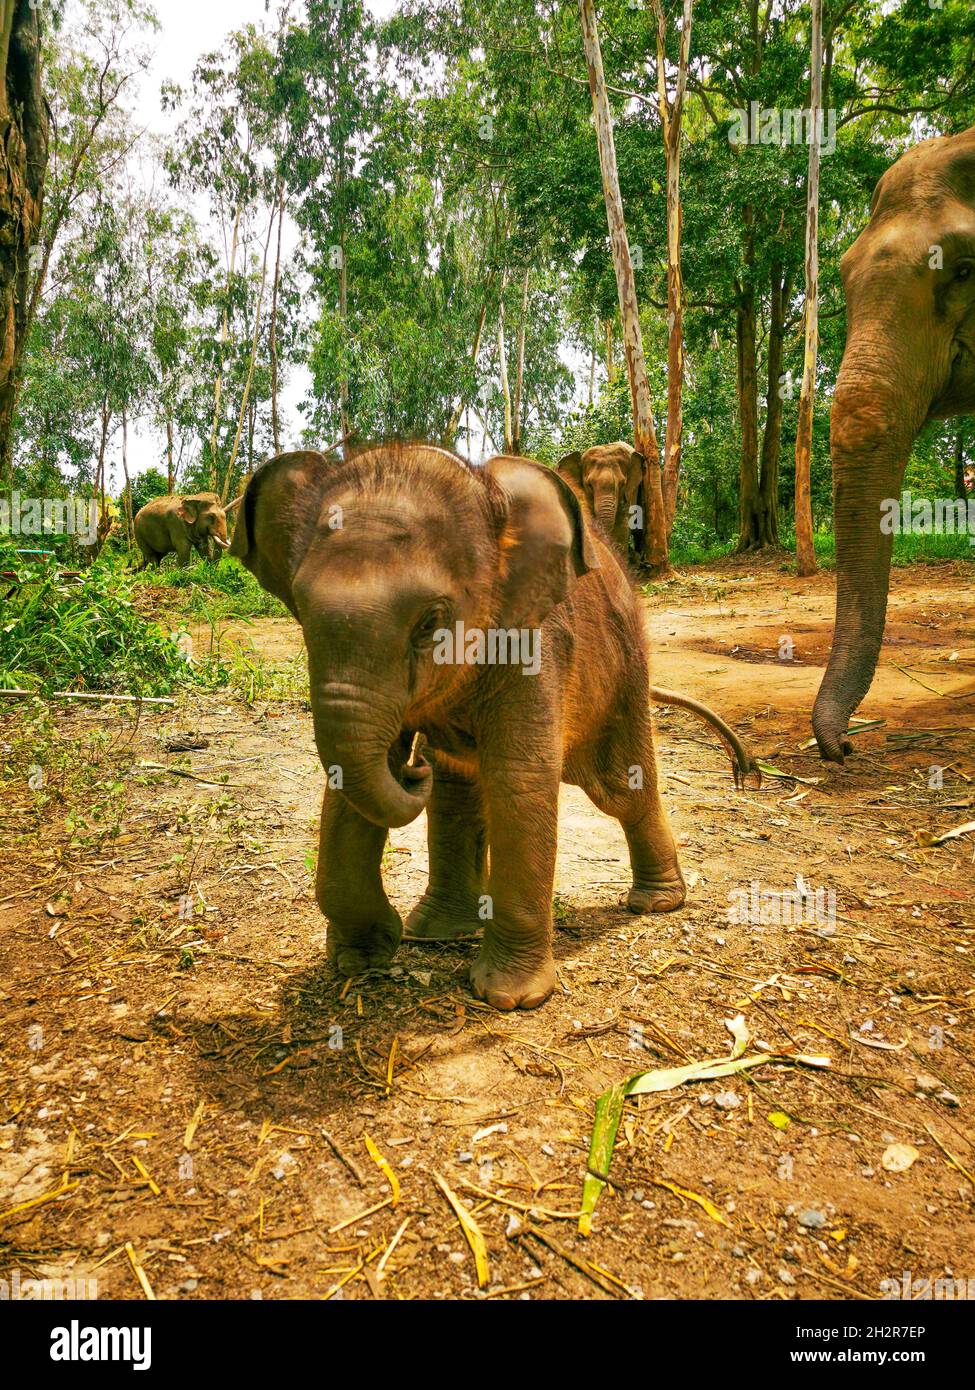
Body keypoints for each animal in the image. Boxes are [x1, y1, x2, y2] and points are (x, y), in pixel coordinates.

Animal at [230, 443, 689, 1011]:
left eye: (430, 621)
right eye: (301, 610)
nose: (412, 765)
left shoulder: (536, 643)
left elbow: (519, 777)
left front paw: (510, 999)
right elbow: (346, 789)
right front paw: (361, 960)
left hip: (624, 667)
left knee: (621, 788)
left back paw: (656, 903)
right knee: (457, 794)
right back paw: (438, 929)